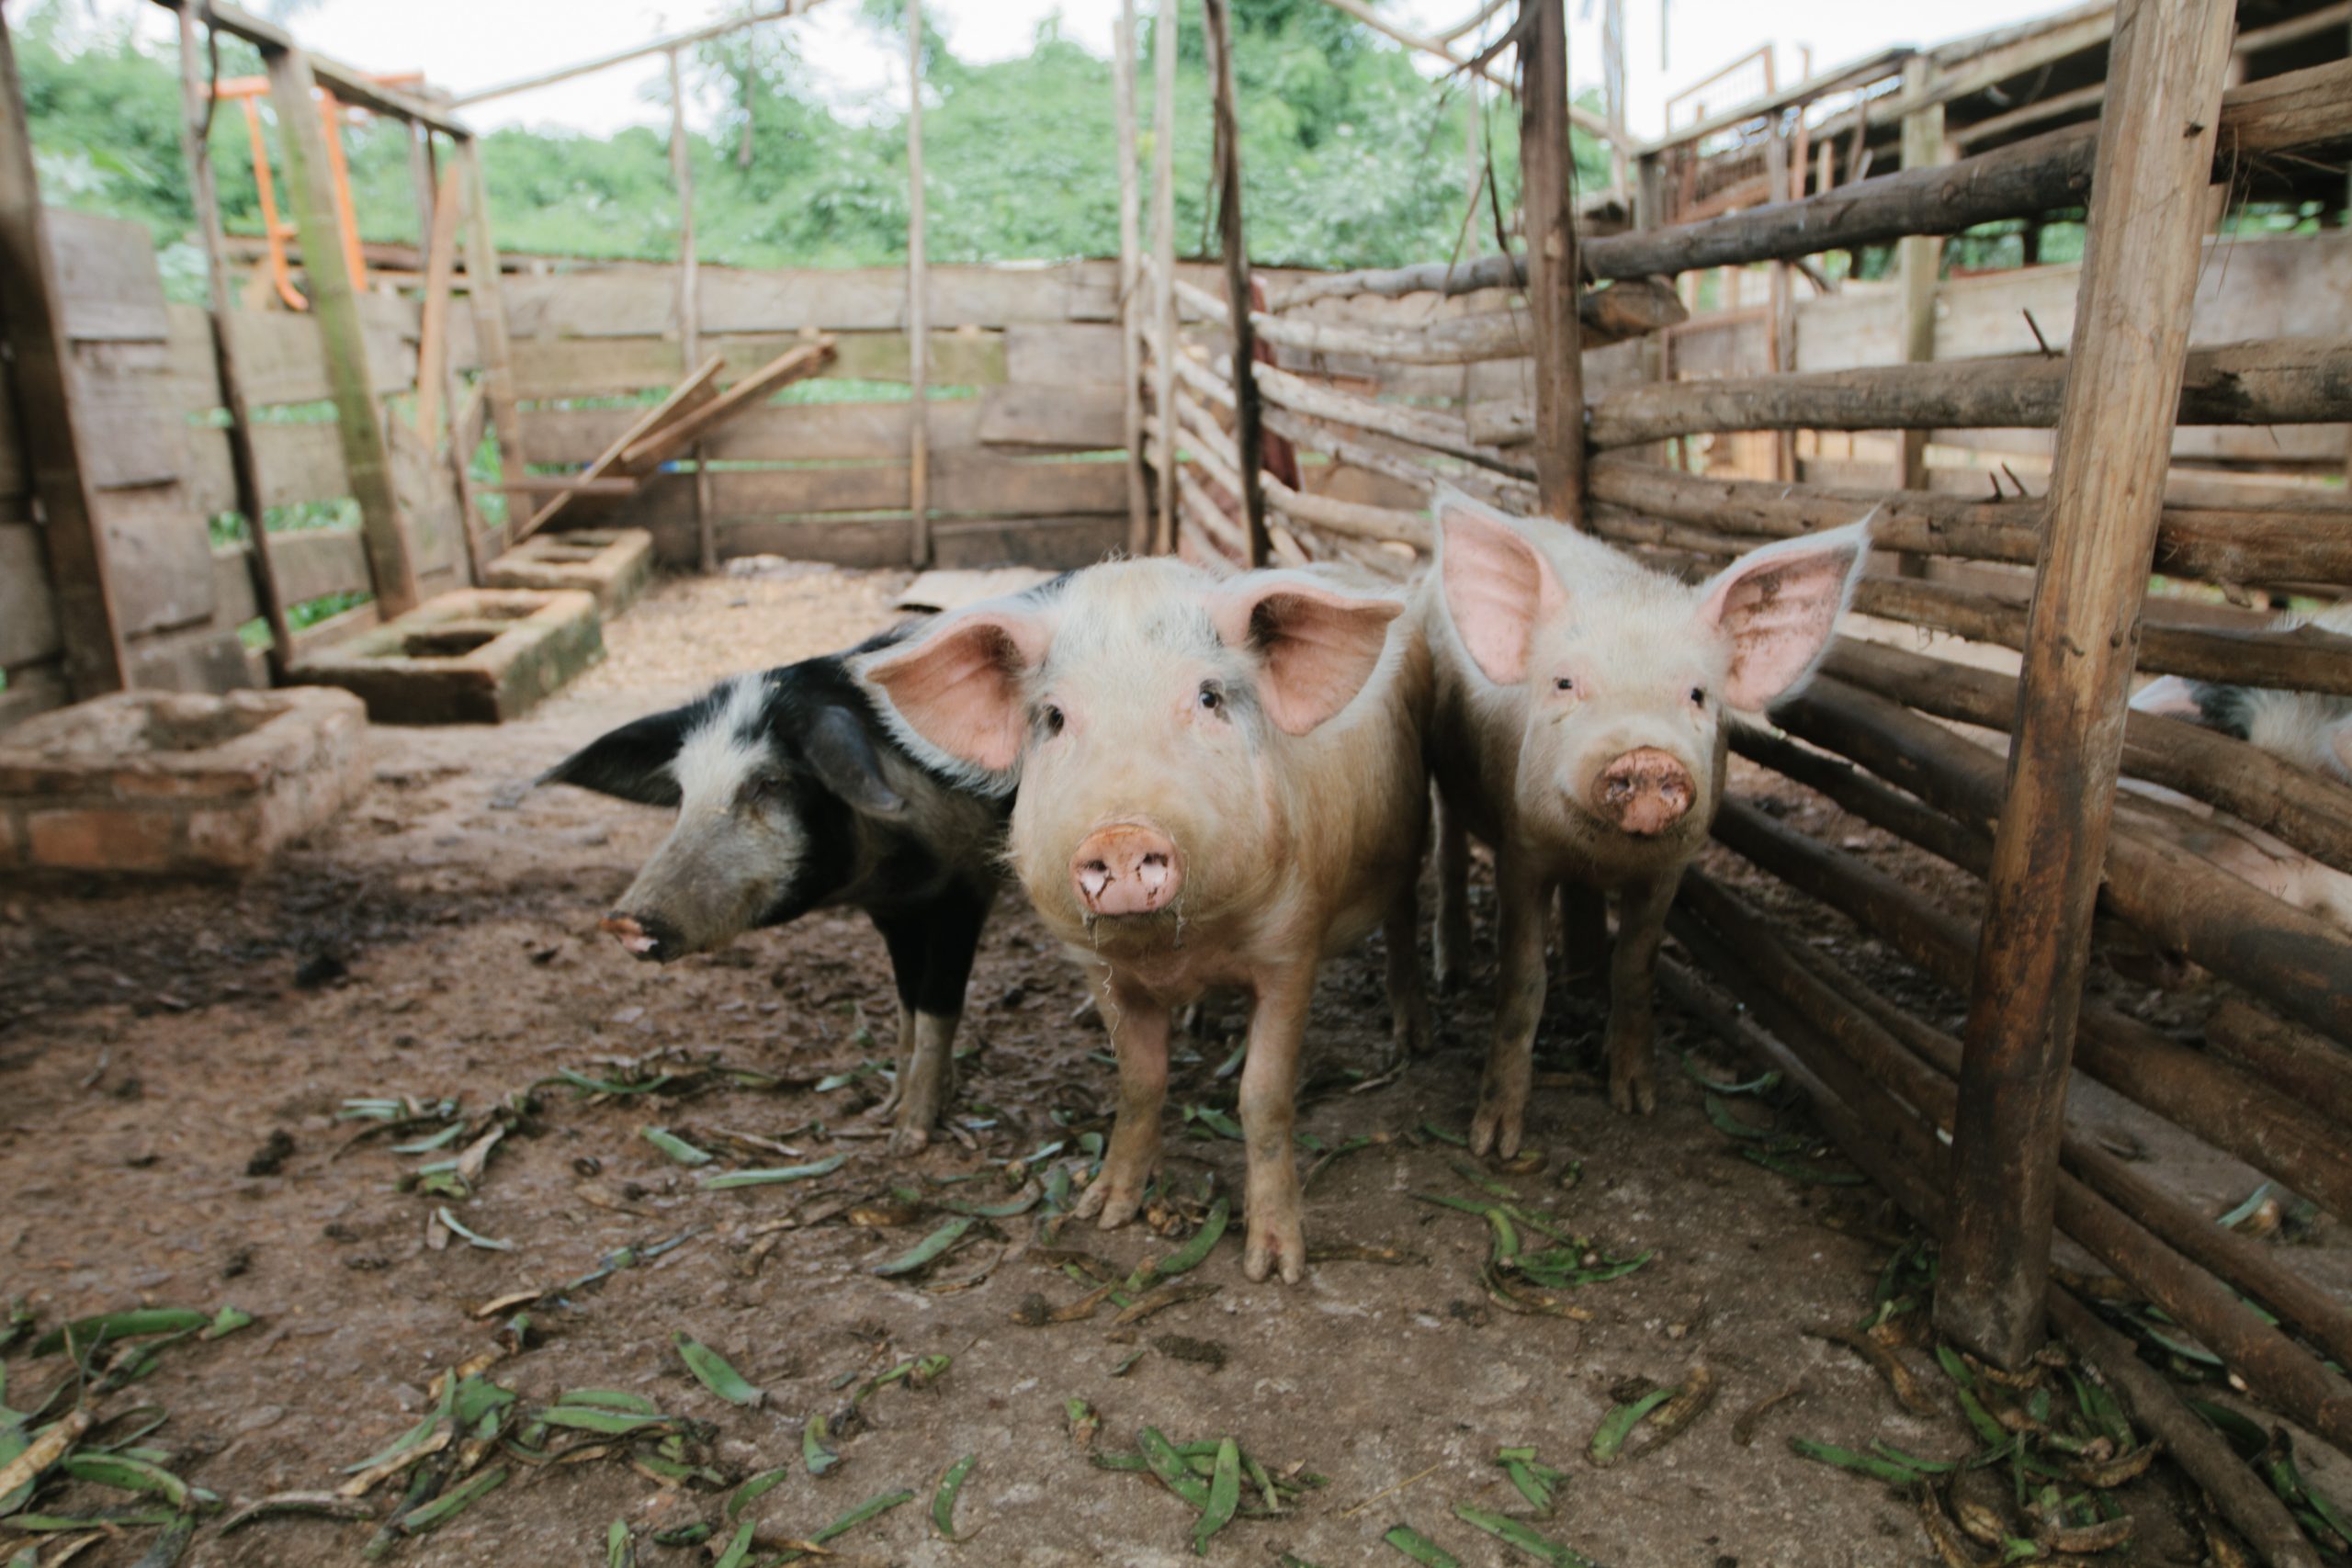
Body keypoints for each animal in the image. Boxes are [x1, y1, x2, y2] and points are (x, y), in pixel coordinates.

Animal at [541, 625, 1008, 1154]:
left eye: (770, 782)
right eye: (683, 791)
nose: (621, 920)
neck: (895, 867)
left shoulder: (964, 890)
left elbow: (936, 1008)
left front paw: (907, 1139)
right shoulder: (895, 913)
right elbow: (906, 1002)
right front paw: (881, 1110)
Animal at [855, 559, 1430, 1283]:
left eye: (1209, 697)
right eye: (1054, 715)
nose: (1122, 834)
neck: (1176, 950)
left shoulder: (1291, 947)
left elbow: (1263, 1095)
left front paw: (1275, 1267)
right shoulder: (1100, 970)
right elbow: (1138, 1081)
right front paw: (1102, 1212)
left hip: (1411, 837)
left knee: (1405, 919)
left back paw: (1406, 1039)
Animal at [1421, 493, 1872, 1150]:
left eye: (1697, 694)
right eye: (1565, 683)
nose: (1647, 757)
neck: (1607, 856)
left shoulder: (1670, 869)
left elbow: (1636, 966)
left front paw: (1637, 1101)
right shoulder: (1521, 852)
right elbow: (1524, 979)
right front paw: (1494, 1142)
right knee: (1450, 847)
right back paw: (1451, 975)